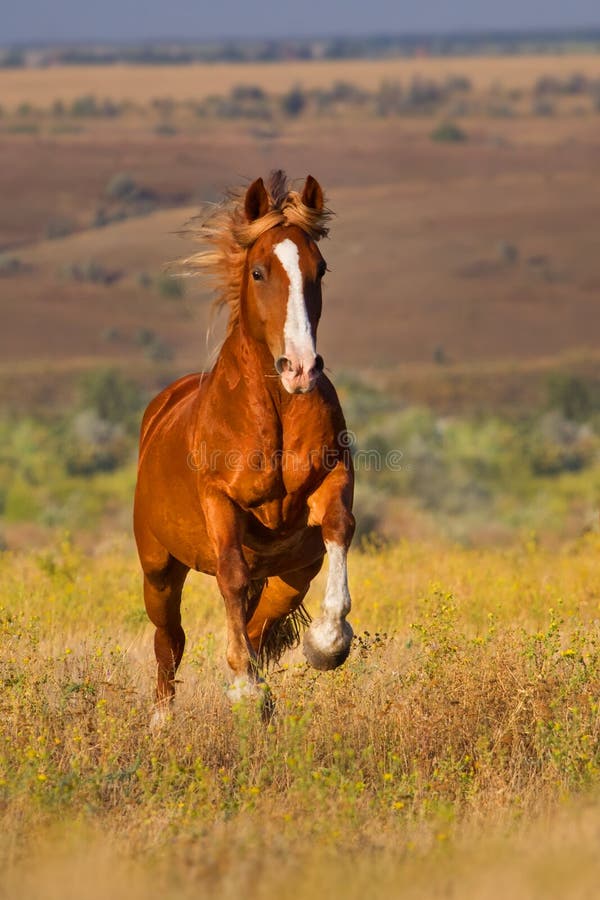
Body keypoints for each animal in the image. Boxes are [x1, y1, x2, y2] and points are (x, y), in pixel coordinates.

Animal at [133, 171, 355, 719]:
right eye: (258, 272)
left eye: (321, 269)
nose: (300, 368)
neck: (273, 413)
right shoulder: (220, 501)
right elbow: (231, 575)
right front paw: (243, 685)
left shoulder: (333, 478)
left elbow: (340, 527)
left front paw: (327, 645)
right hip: (158, 569)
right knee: (169, 640)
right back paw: (162, 721)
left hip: (292, 574)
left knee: (257, 625)